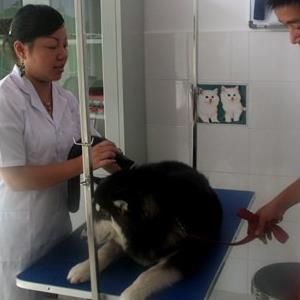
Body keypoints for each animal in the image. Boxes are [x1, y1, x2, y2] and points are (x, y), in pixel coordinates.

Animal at [67, 162, 223, 300]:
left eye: (104, 214)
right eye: (93, 211)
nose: (83, 237)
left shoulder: (188, 254)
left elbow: (149, 274)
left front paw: (129, 295)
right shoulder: (129, 240)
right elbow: (104, 251)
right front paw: (83, 268)